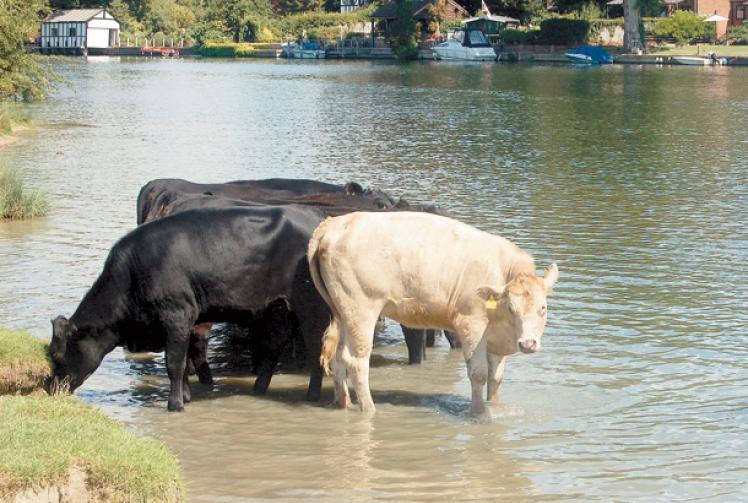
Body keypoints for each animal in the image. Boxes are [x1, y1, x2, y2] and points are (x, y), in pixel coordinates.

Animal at [49, 205, 329, 412]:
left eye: (58, 356)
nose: (50, 387)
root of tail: (316, 217)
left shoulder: (177, 316)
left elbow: (174, 363)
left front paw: (175, 405)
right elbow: (183, 364)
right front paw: (185, 396)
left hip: (309, 306)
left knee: (315, 347)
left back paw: (312, 395)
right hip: (278, 307)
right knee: (274, 345)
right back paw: (258, 389)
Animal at [307, 212, 559, 417]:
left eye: (543, 308)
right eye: (511, 308)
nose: (528, 343)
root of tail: (335, 223)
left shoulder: (497, 339)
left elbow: (495, 378)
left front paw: (495, 407)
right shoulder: (471, 324)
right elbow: (478, 374)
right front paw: (480, 414)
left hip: (342, 312)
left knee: (338, 357)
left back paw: (343, 403)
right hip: (362, 311)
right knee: (356, 361)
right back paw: (369, 408)